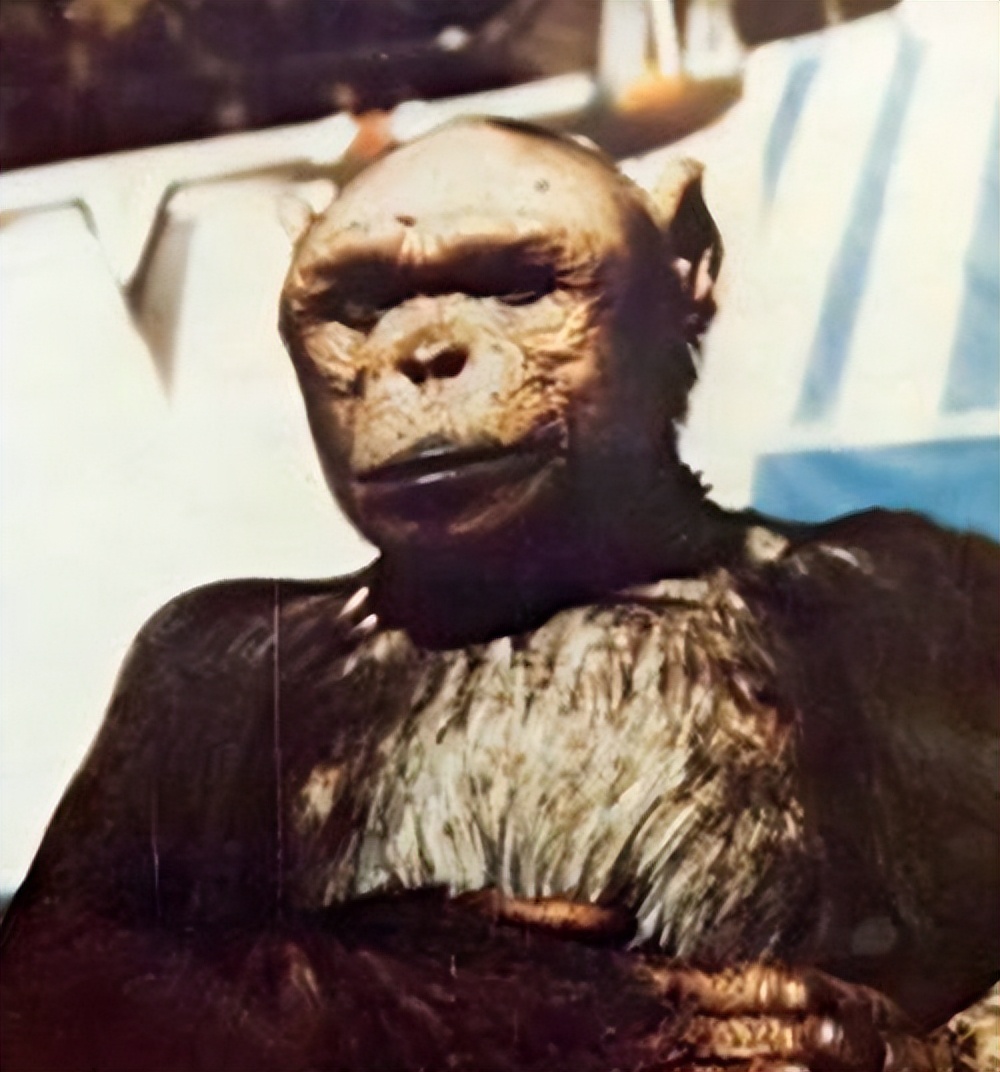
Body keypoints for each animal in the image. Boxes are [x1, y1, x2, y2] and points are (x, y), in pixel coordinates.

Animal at [1, 117, 997, 1072]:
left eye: (512, 286)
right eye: (361, 306)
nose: (425, 356)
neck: (546, 584)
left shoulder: (922, 588)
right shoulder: (197, 654)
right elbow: (67, 956)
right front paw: (521, 994)